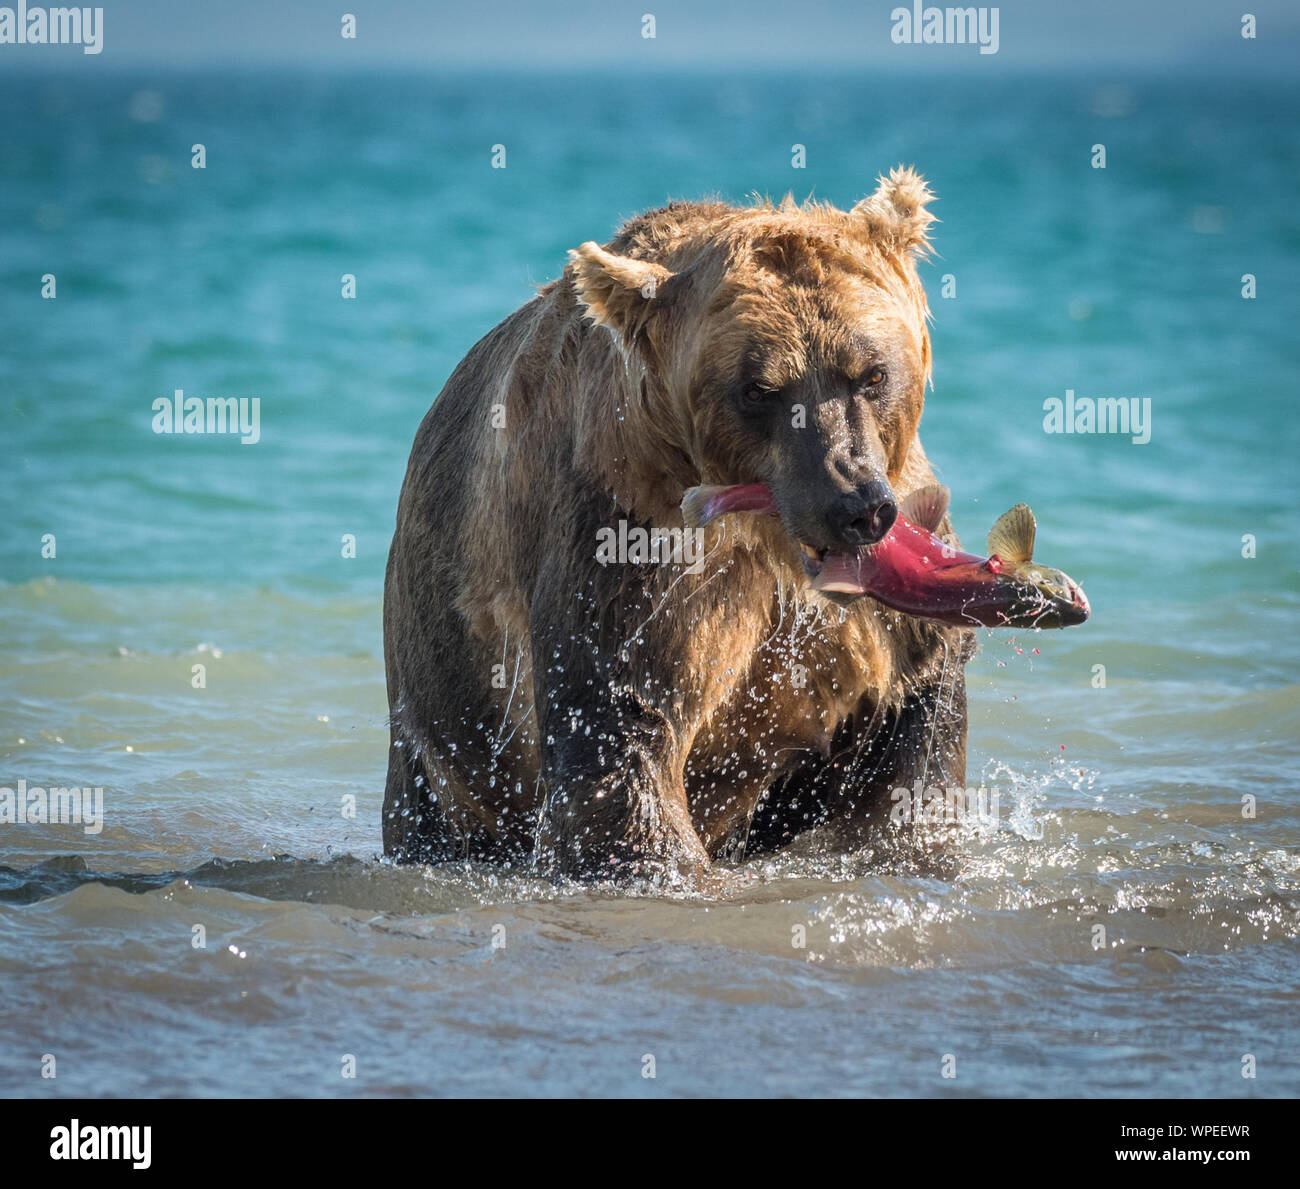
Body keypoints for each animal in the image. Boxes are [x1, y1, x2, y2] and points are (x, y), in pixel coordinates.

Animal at [383, 166, 974, 879]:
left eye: (871, 373)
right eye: (759, 389)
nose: (852, 505)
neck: (766, 537)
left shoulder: (876, 599)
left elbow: (915, 719)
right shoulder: (634, 542)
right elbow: (621, 733)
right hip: (436, 715)